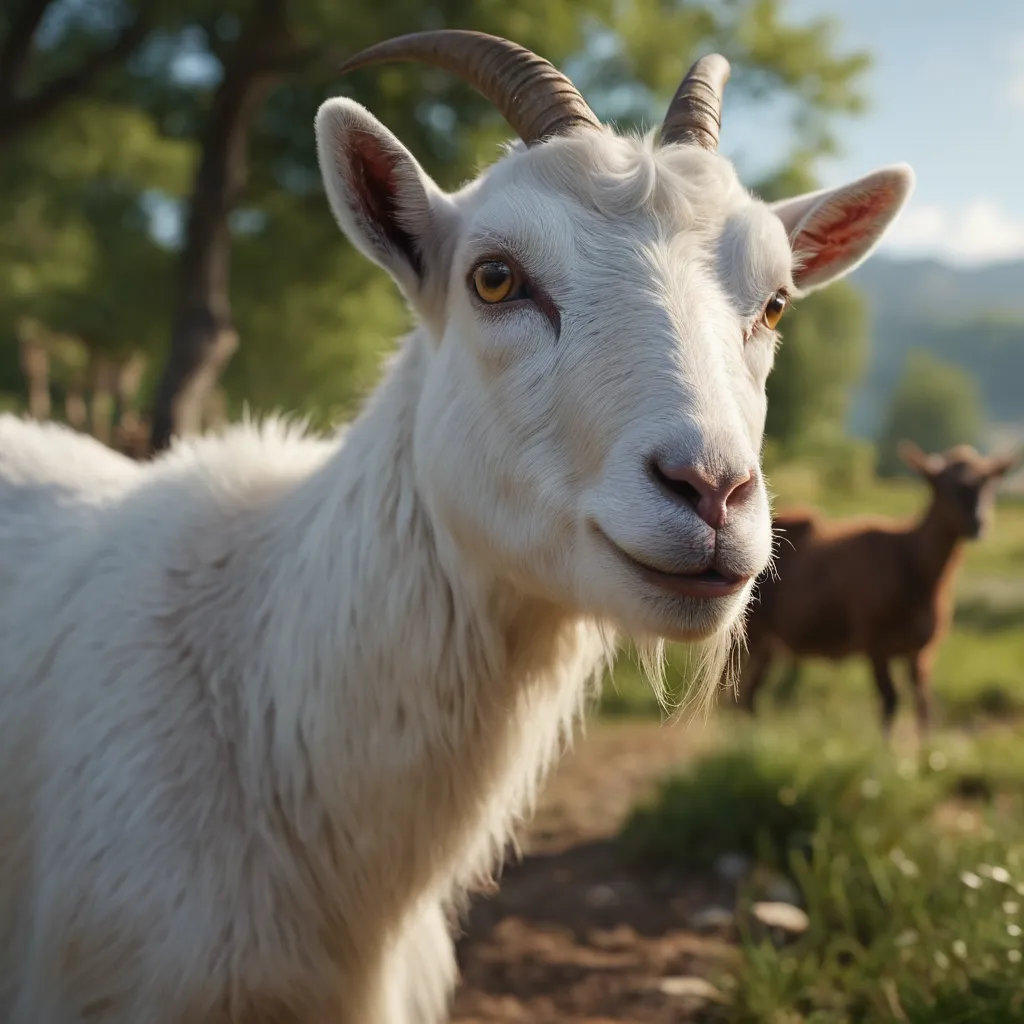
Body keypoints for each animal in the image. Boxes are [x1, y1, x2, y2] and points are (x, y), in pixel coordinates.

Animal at [736, 441, 1018, 738]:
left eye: (989, 484)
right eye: (944, 485)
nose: (979, 522)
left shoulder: (923, 647)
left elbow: (923, 701)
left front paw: (925, 743)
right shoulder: (873, 639)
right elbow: (890, 699)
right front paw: (886, 746)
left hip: (768, 641)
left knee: (750, 693)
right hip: (750, 631)